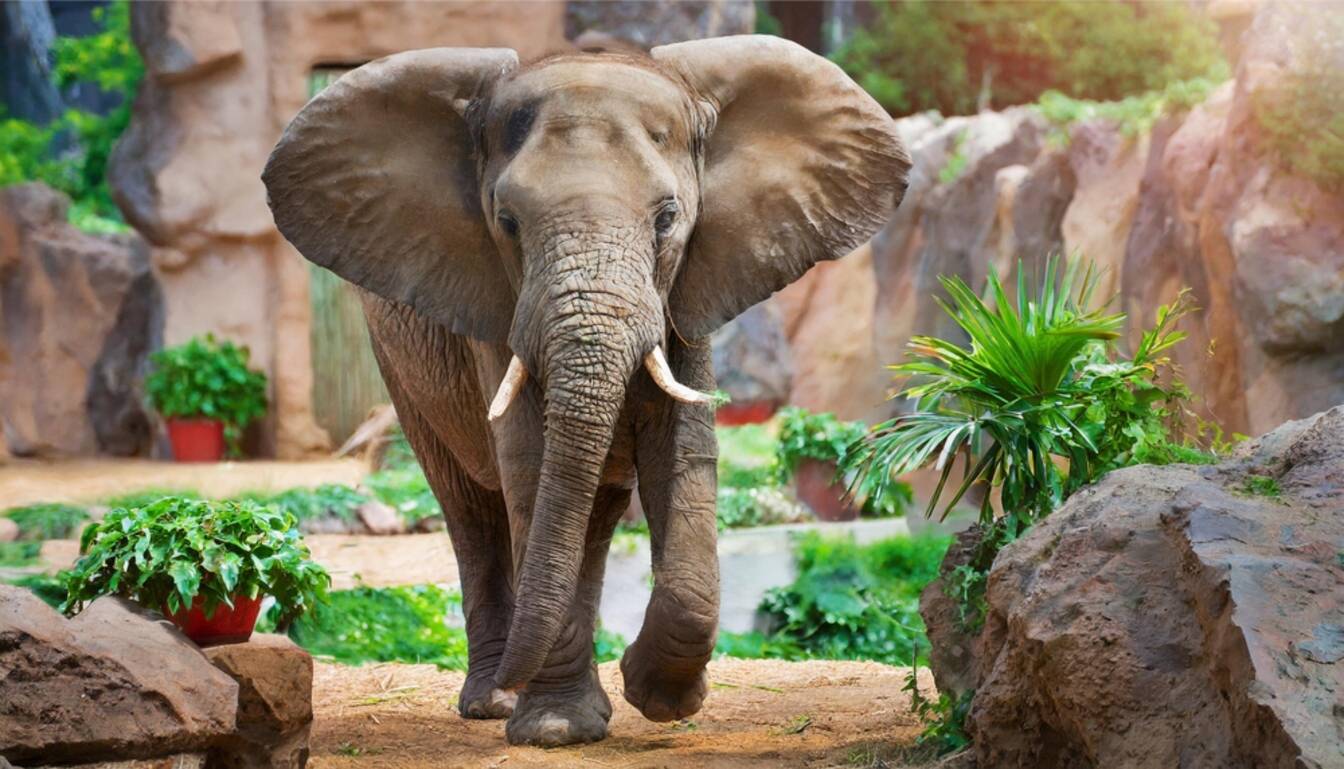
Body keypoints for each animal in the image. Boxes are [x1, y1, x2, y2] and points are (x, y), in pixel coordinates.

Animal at [263, 35, 909, 747]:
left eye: (668, 218)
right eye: (507, 222)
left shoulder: (687, 289)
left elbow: (681, 455)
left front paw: (657, 697)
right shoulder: (495, 301)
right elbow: (529, 461)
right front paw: (554, 731)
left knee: (591, 515)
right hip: (398, 366)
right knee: (473, 511)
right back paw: (495, 702)